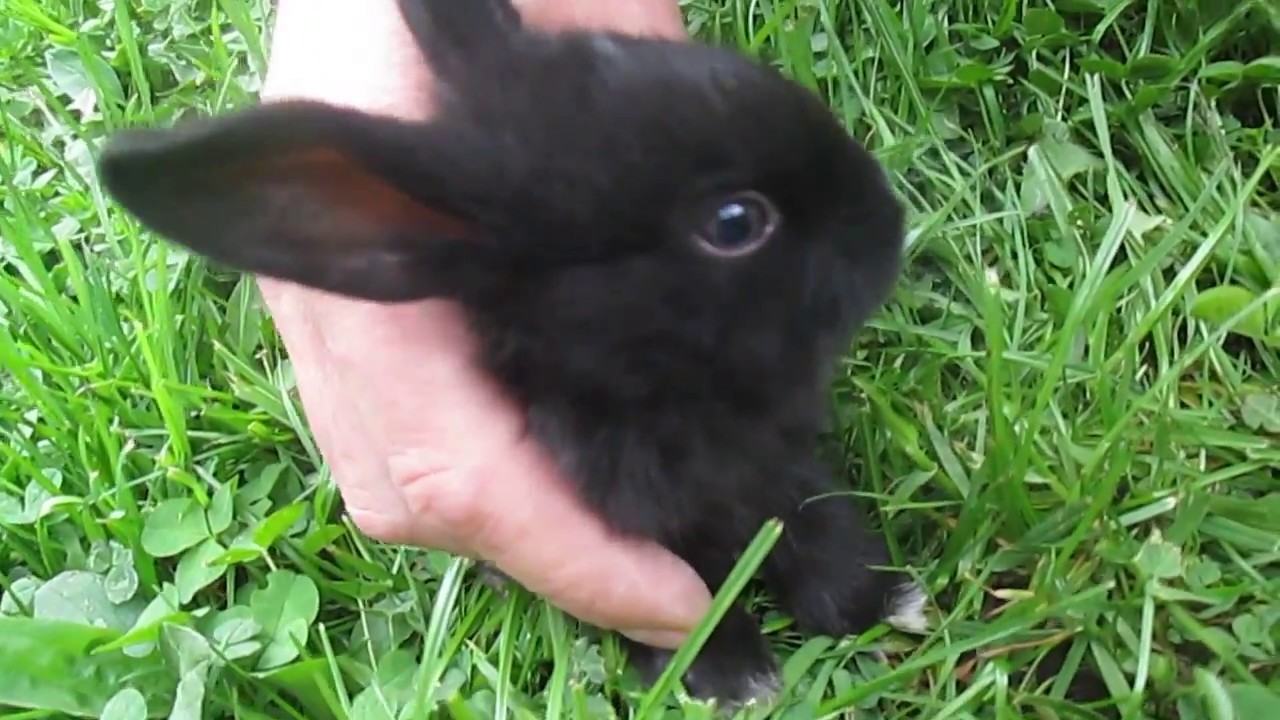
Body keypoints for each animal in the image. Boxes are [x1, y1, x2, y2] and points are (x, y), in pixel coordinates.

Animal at [96, 0, 925, 709]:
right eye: (733, 222)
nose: (889, 220)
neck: (662, 389)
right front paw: (732, 675)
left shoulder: (784, 470)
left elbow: (820, 531)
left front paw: (884, 601)